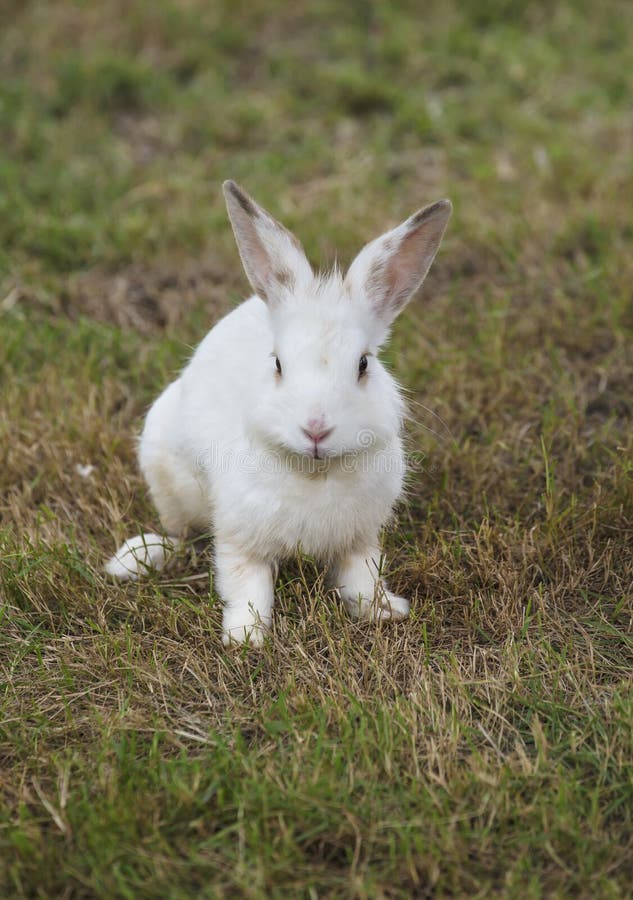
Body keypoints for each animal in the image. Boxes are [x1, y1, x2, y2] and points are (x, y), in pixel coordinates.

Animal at [106, 181, 452, 646]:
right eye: (278, 364)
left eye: (364, 364)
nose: (316, 429)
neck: (315, 472)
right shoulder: (239, 538)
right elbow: (246, 585)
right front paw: (246, 637)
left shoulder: (360, 540)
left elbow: (361, 579)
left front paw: (383, 611)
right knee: (182, 536)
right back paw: (135, 558)